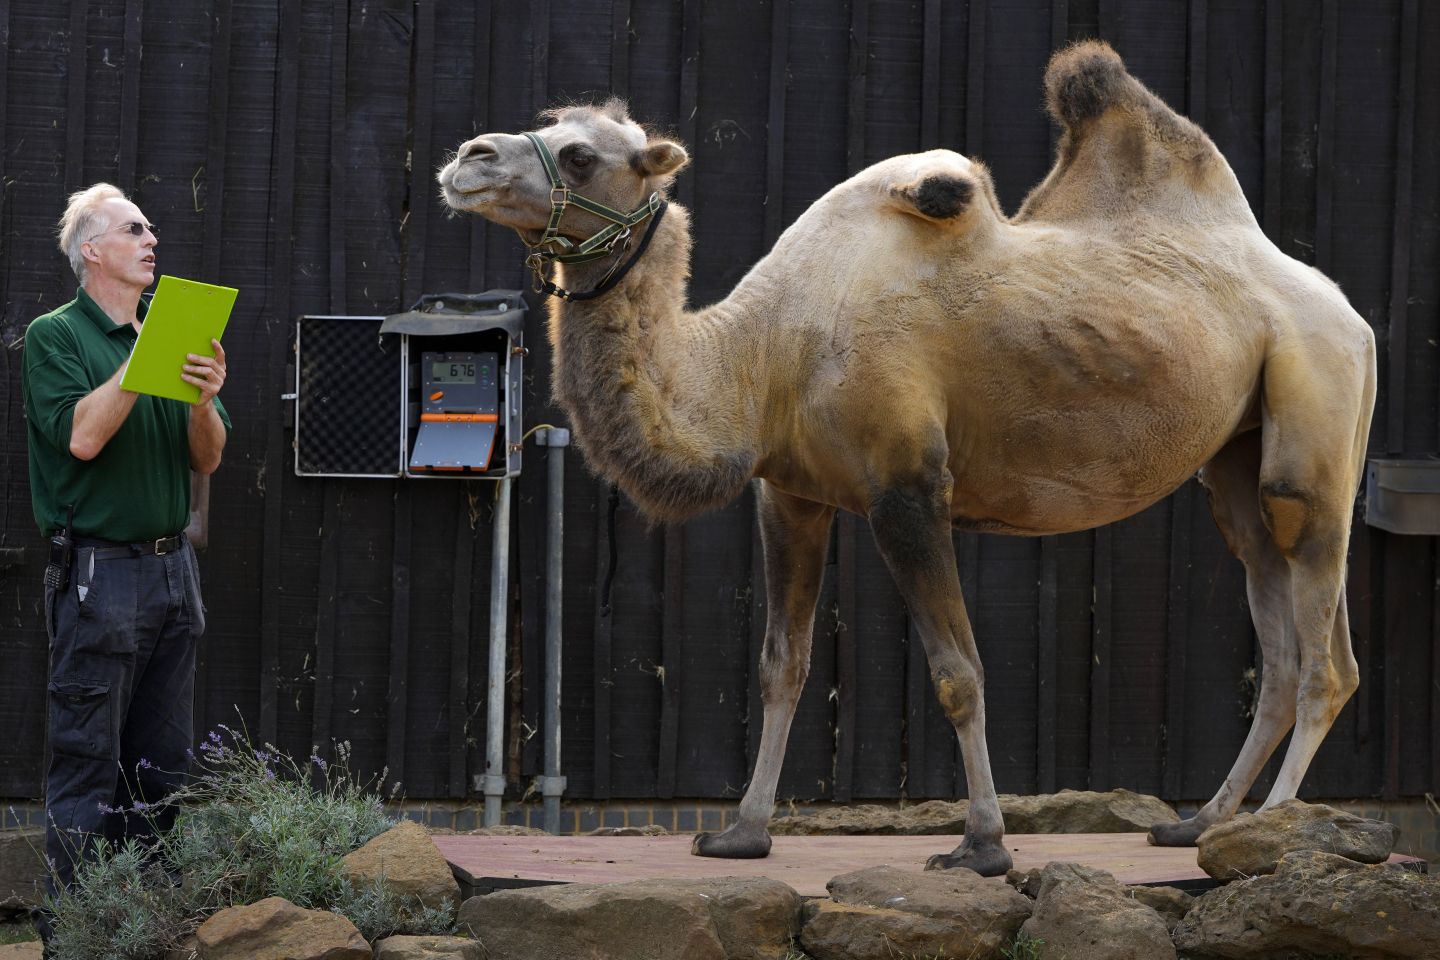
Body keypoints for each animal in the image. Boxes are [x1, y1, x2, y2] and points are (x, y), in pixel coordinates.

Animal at [438, 41, 1375, 877]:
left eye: (582, 155)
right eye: (548, 125)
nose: (467, 157)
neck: (765, 352)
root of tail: (1347, 310)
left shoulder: (908, 487)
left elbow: (959, 672)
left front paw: (983, 847)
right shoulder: (791, 494)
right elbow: (782, 665)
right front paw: (741, 833)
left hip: (1316, 411)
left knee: (1325, 648)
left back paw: (1273, 834)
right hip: (1236, 458)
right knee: (1277, 629)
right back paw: (1202, 823)